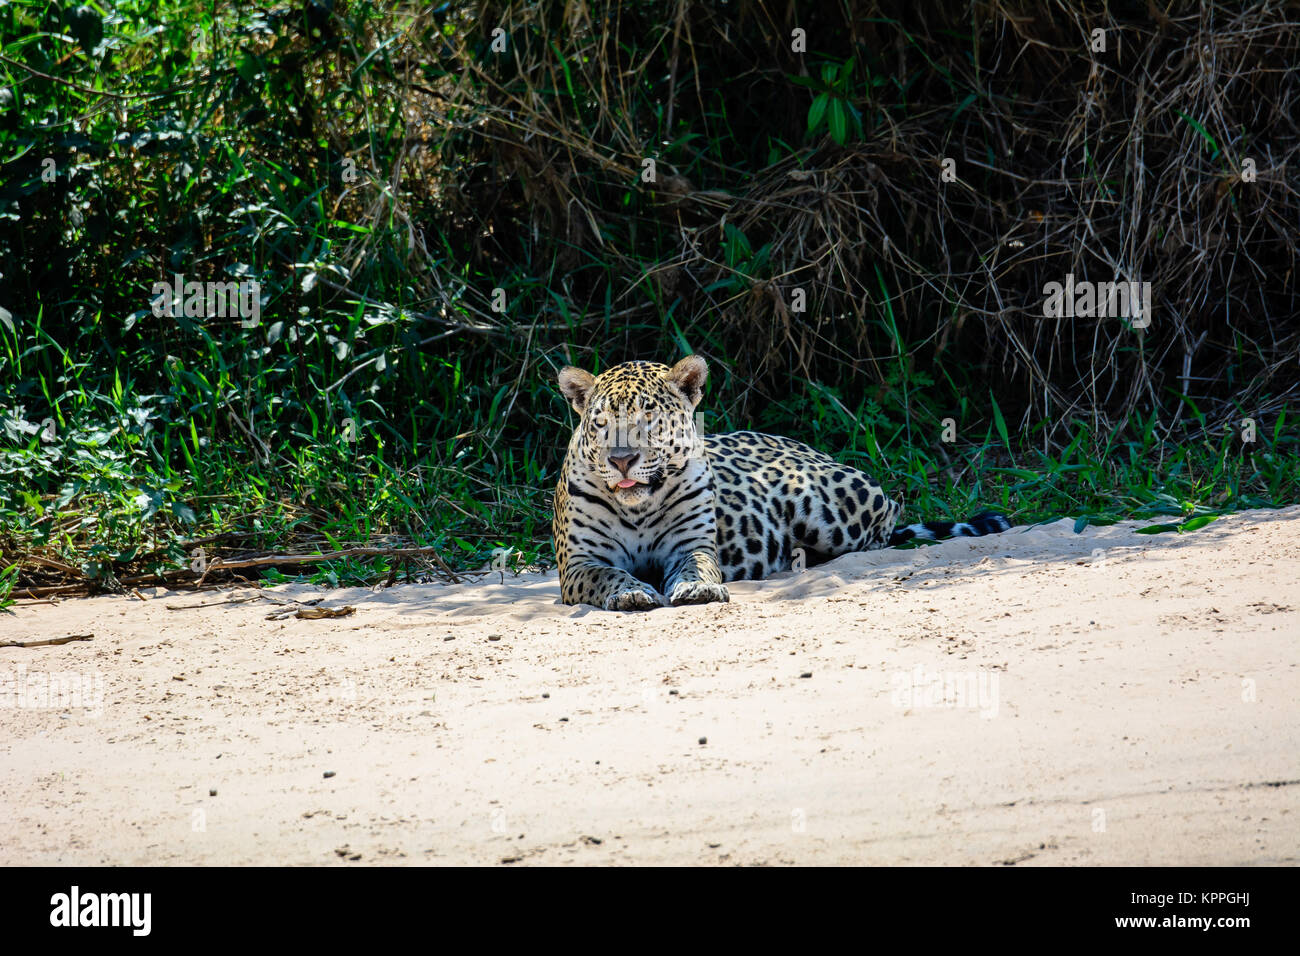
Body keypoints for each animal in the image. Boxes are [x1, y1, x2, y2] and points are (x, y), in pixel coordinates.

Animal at [552, 355, 1010, 610]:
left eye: (650, 420)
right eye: (600, 424)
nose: (621, 460)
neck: (641, 507)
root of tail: (805, 446)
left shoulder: (692, 546)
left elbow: (698, 566)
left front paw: (699, 588)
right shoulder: (580, 563)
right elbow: (609, 576)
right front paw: (631, 593)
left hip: (829, 511)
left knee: (887, 516)